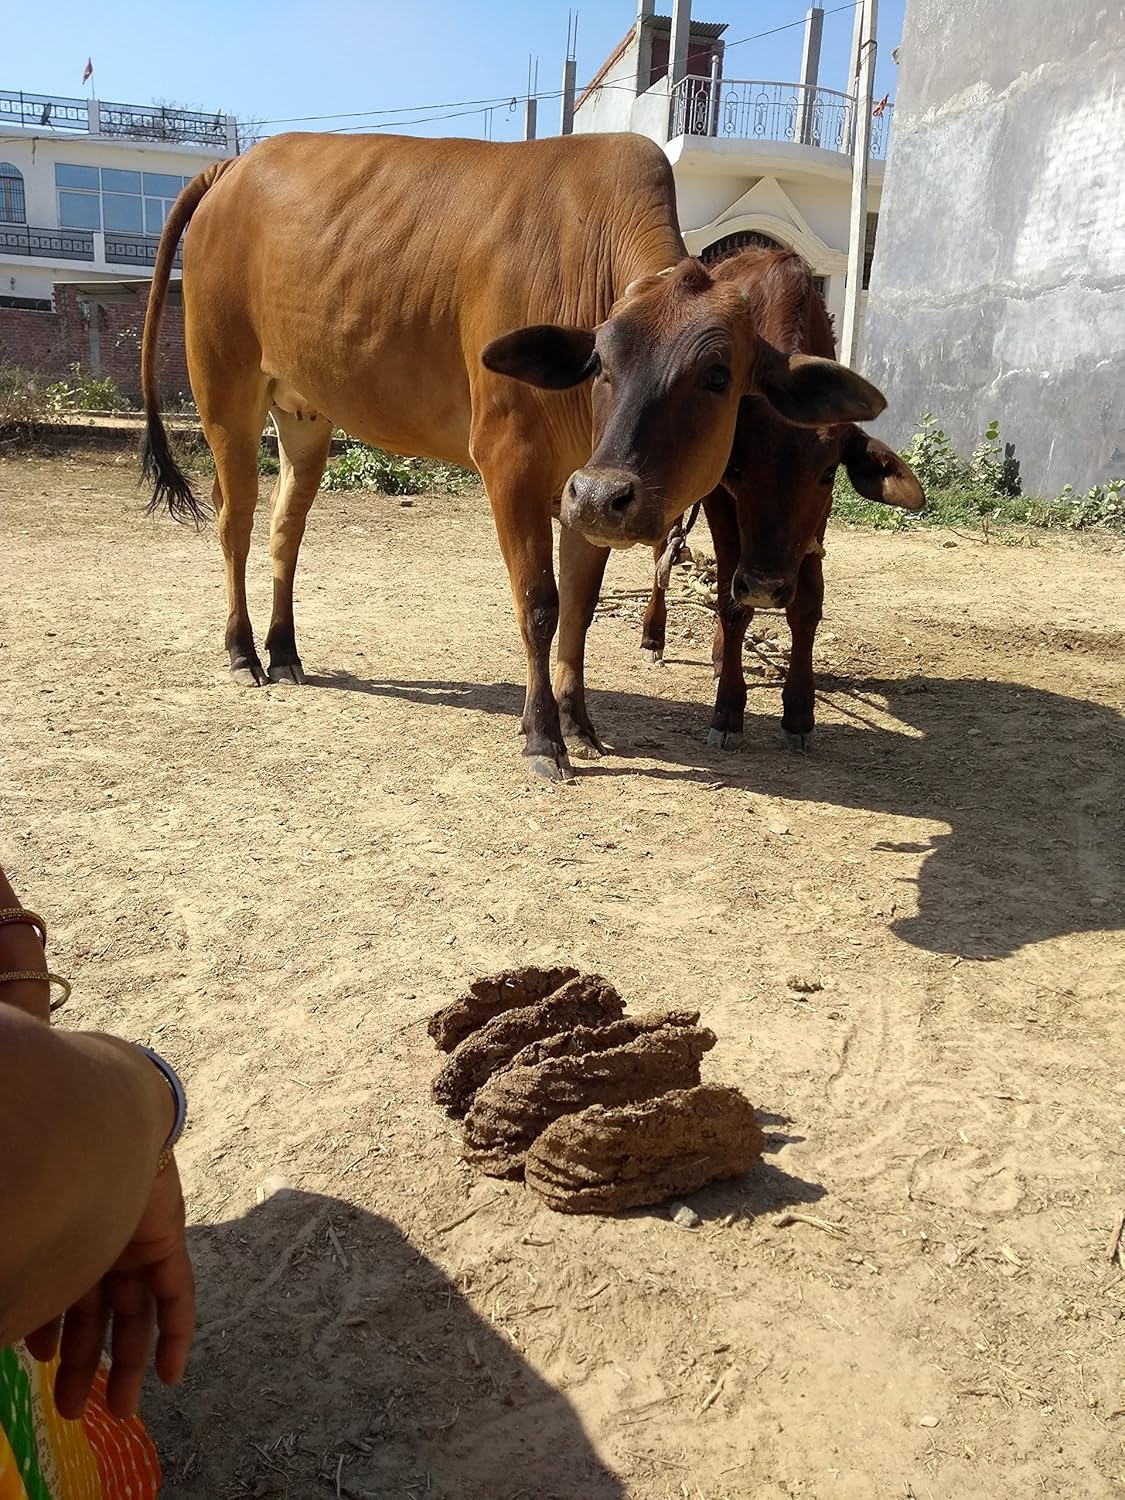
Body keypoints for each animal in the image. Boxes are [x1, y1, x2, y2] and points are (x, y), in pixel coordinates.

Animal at [140, 132, 887, 781]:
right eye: (600, 362)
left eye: (718, 377)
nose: (605, 494)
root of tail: (232, 168)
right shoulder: (511, 465)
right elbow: (539, 604)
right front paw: (541, 736)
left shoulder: (580, 494)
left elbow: (579, 609)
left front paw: (579, 723)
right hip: (226, 396)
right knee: (235, 522)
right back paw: (243, 652)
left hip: (304, 416)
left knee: (284, 529)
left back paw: (286, 650)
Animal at [639, 248, 923, 751]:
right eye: (736, 470)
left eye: (828, 473)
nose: (765, 586)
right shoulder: (720, 502)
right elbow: (731, 602)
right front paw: (728, 711)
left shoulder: (814, 525)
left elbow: (806, 605)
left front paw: (798, 712)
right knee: (665, 553)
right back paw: (655, 636)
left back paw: (720, 653)